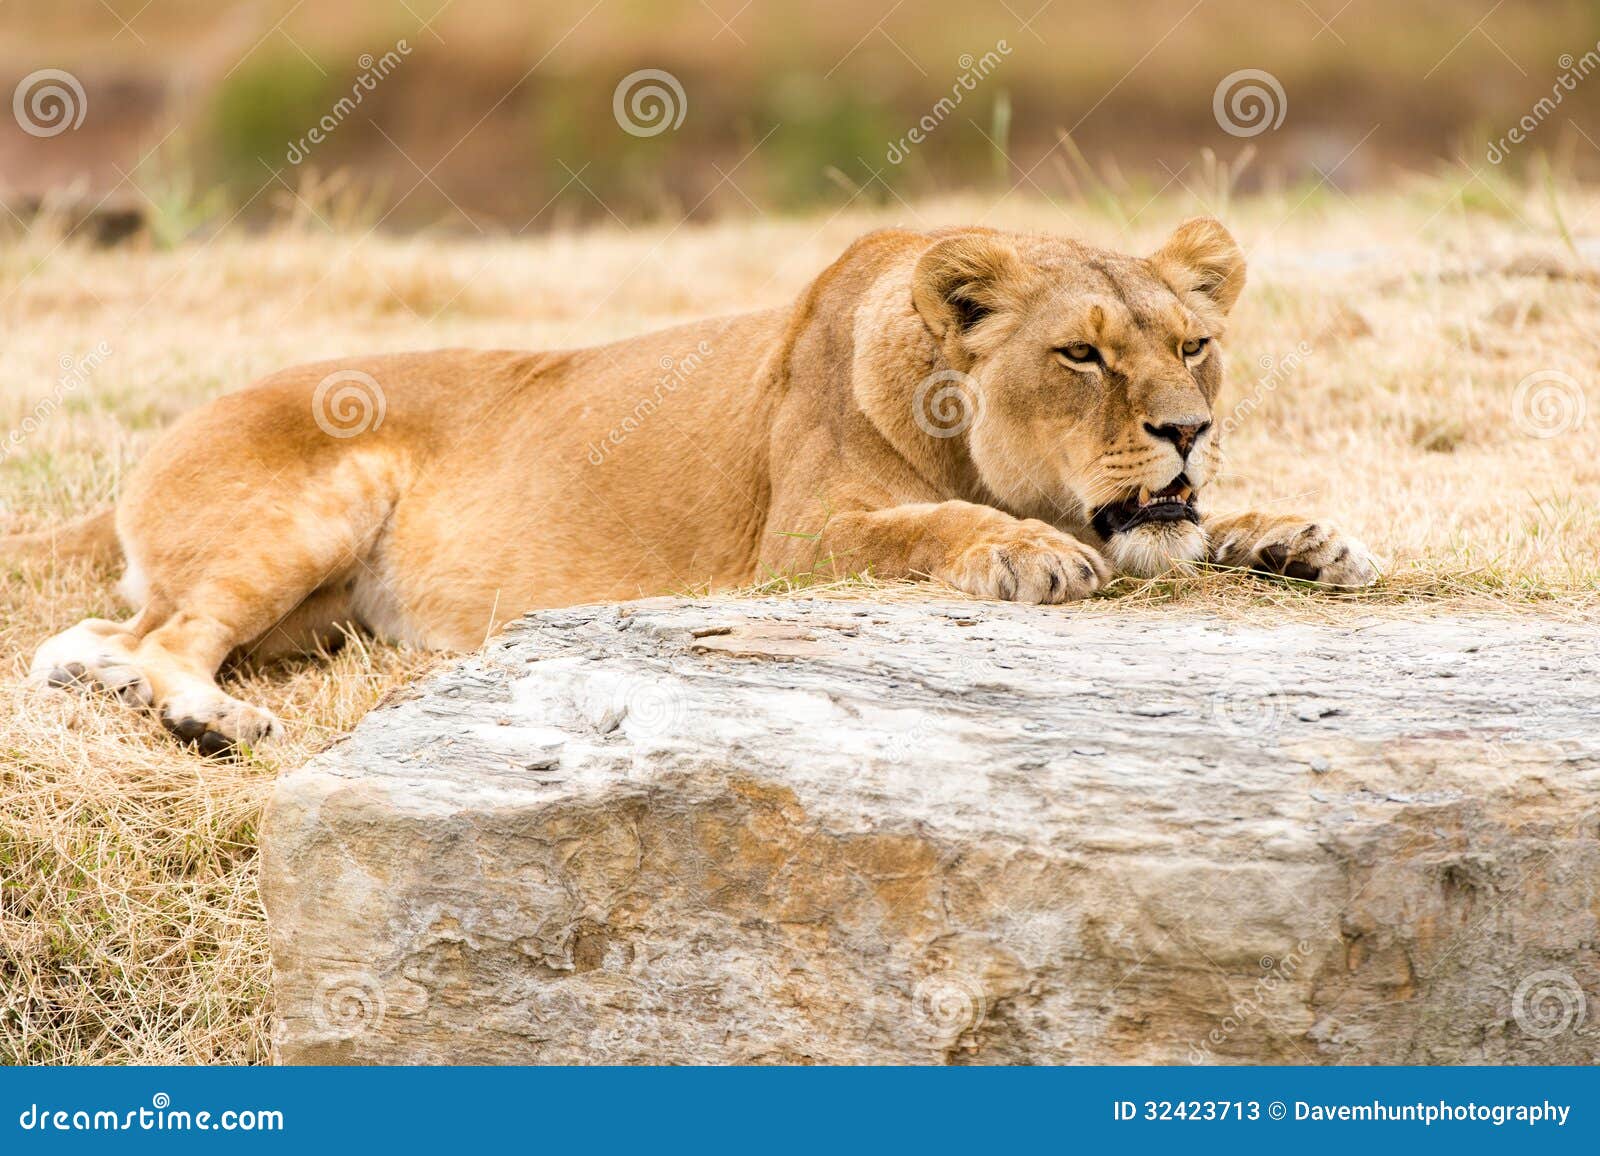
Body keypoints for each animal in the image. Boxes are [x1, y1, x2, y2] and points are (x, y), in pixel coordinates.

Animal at [6, 218, 1376, 753]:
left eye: (1193, 344)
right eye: (1080, 355)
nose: (1188, 429)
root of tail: (155, 444)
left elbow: (1212, 527)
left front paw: (1304, 534)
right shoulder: (795, 544)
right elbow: (927, 524)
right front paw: (1022, 550)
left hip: (314, 613)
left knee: (98, 633)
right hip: (315, 509)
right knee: (164, 634)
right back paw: (208, 718)